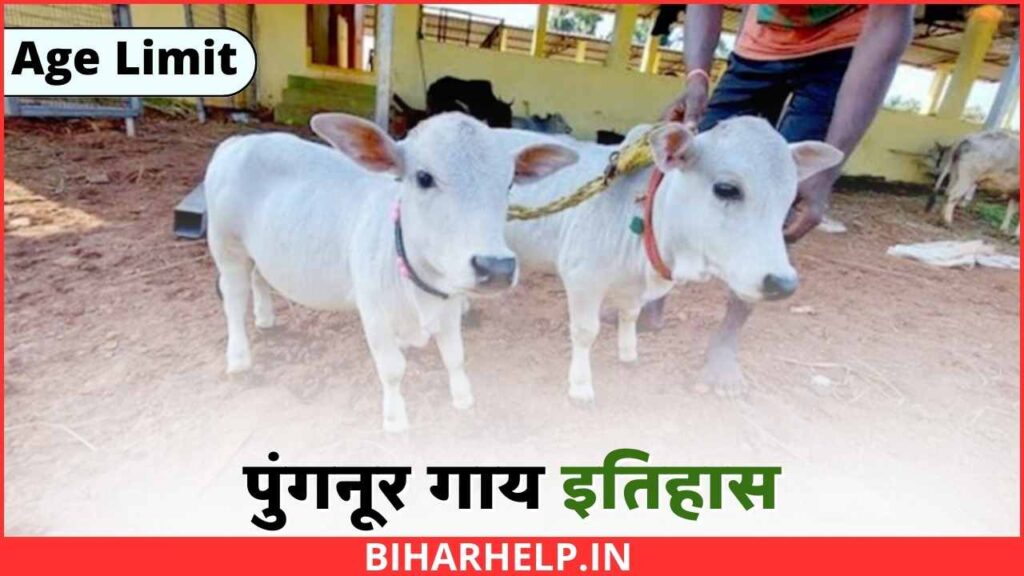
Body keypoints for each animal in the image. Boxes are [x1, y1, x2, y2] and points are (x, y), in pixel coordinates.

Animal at [203, 113, 577, 431]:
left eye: (510, 183)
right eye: (423, 178)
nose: (496, 266)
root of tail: (238, 142)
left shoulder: (451, 306)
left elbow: (455, 357)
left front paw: (463, 400)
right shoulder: (374, 312)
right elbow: (393, 369)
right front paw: (396, 421)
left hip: (258, 250)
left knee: (259, 277)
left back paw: (266, 318)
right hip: (226, 245)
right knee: (234, 300)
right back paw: (239, 359)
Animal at [497, 117, 843, 400]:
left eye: (790, 197)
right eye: (726, 189)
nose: (782, 282)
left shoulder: (632, 286)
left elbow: (630, 315)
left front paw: (628, 355)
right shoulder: (582, 276)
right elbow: (585, 332)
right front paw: (581, 387)